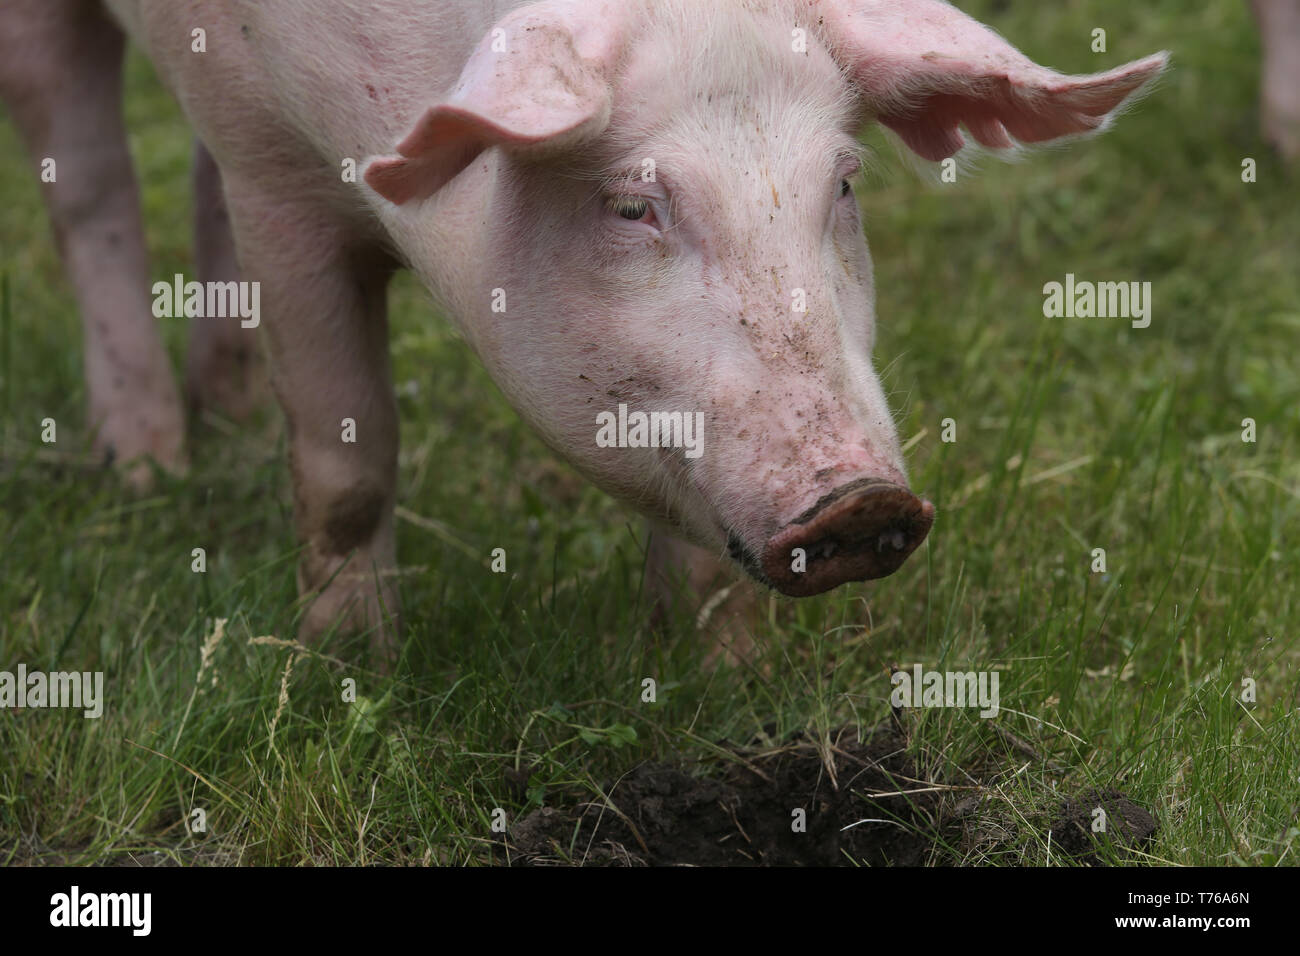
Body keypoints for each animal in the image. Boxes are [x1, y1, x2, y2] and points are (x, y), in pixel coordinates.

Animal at [0, 0, 1166, 650]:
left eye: (842, 183)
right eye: (632, 206)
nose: (861, 498)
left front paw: (716, 675)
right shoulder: (274, 173)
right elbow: (346, 464)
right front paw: (351, 663)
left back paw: (228, 413)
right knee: (88, 181)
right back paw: (144, 465)